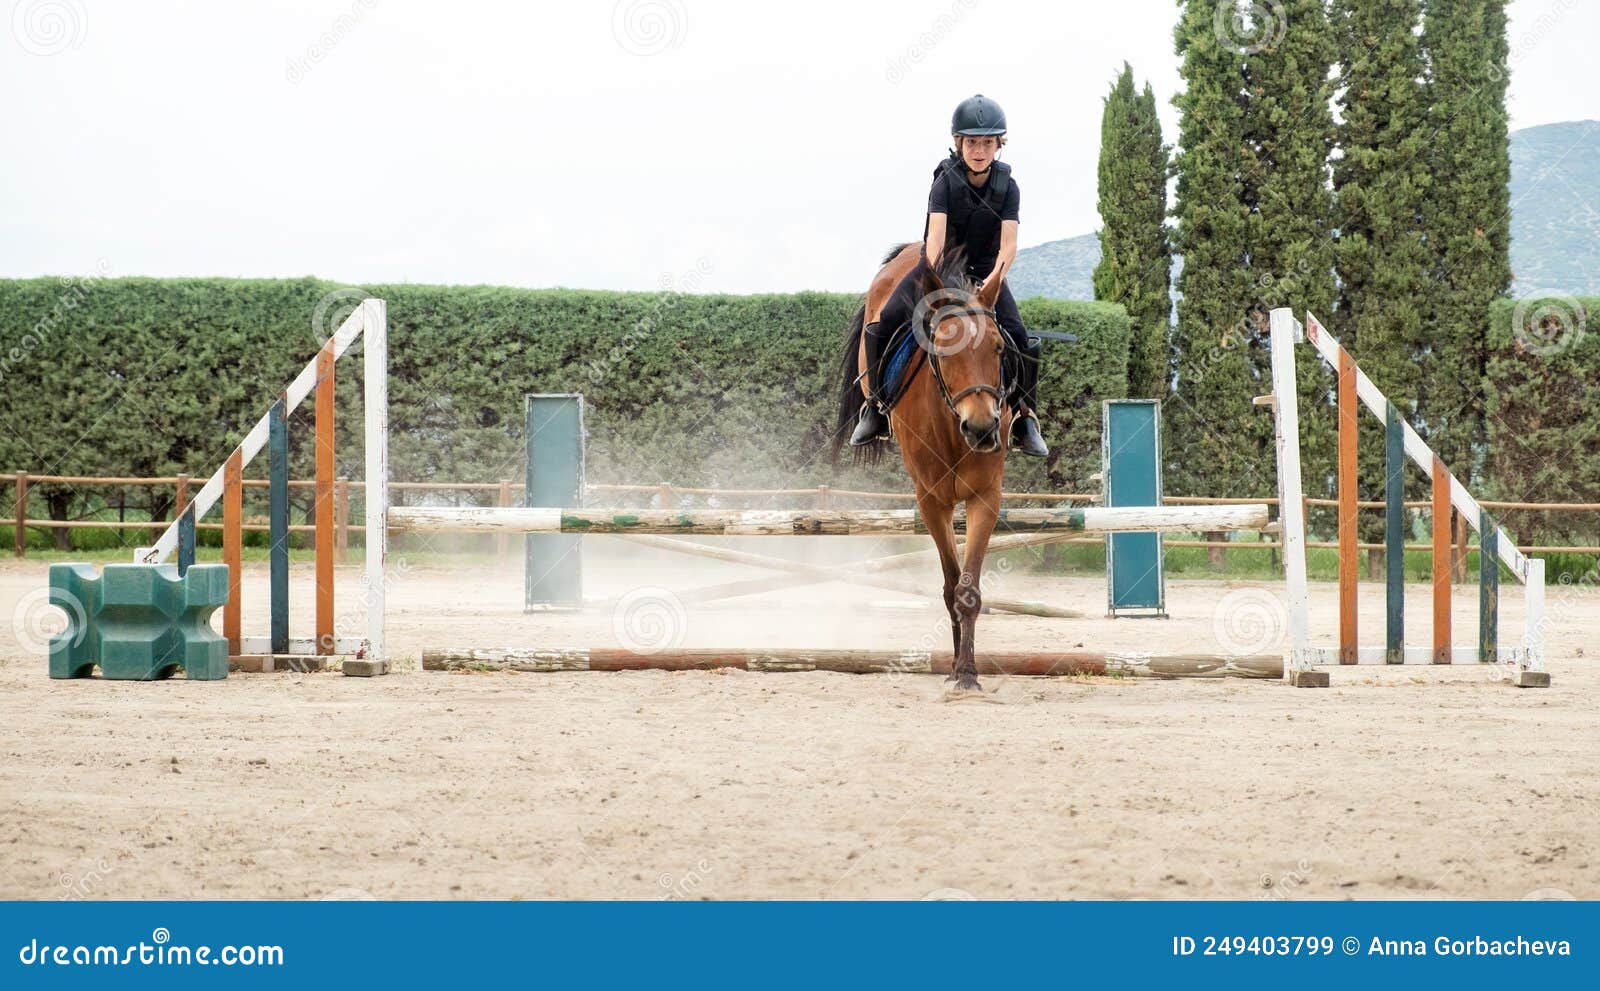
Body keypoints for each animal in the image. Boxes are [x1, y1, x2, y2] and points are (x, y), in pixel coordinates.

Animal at [830, 243, 1014, 693]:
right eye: (944, 348)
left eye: (999, 348)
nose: (982, 428)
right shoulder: (932, 501)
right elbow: (950, 586)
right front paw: (956, 668)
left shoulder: (985, 497)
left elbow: (968, 589)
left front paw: (967, 672)